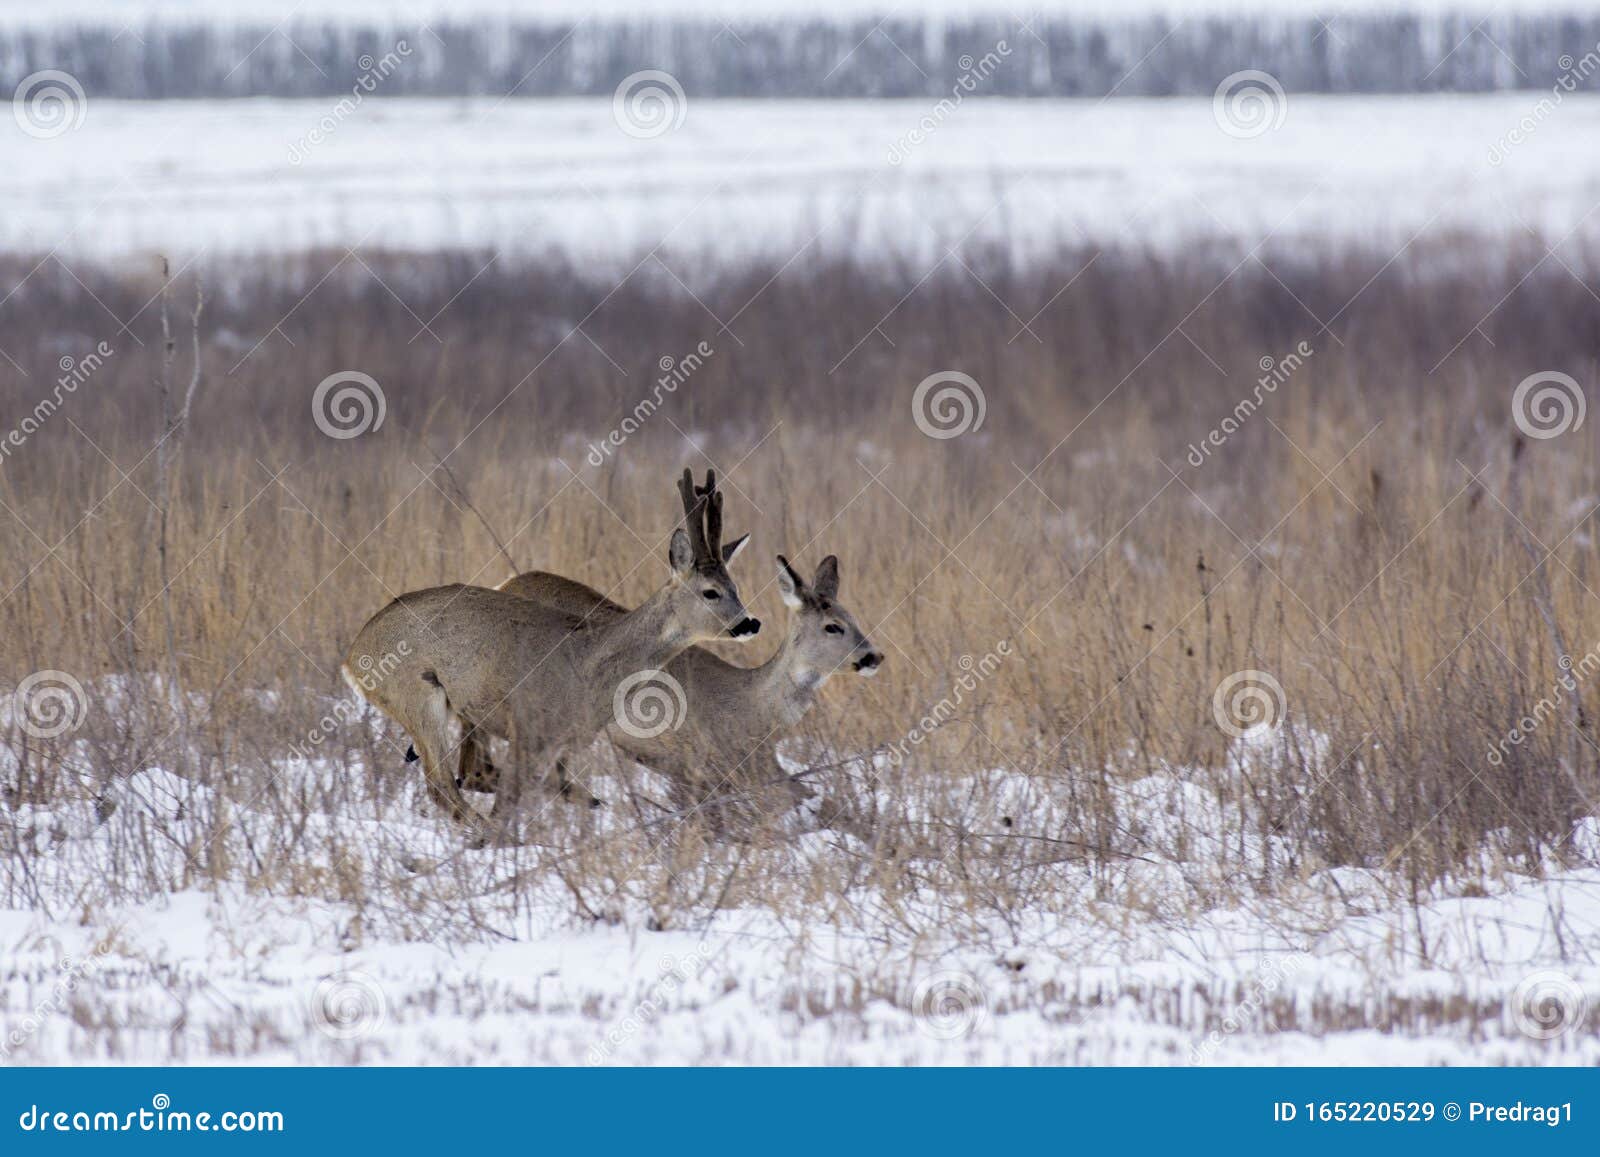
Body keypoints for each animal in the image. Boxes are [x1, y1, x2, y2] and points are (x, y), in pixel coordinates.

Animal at [343, 468, 759, 842]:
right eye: (710, 592)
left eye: (736, 587)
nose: (750, 623)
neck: (590, 665)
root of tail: (352, 656)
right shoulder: (527, 730)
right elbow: (508, 800)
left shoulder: (559, 745)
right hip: (416, 696)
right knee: (443, 784)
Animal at [426, 552, 884, 837]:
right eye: (833, 627)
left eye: (854, 618)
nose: (873, 656)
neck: (752, 706)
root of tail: (506, 580)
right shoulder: (719, 764)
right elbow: (817, 802)